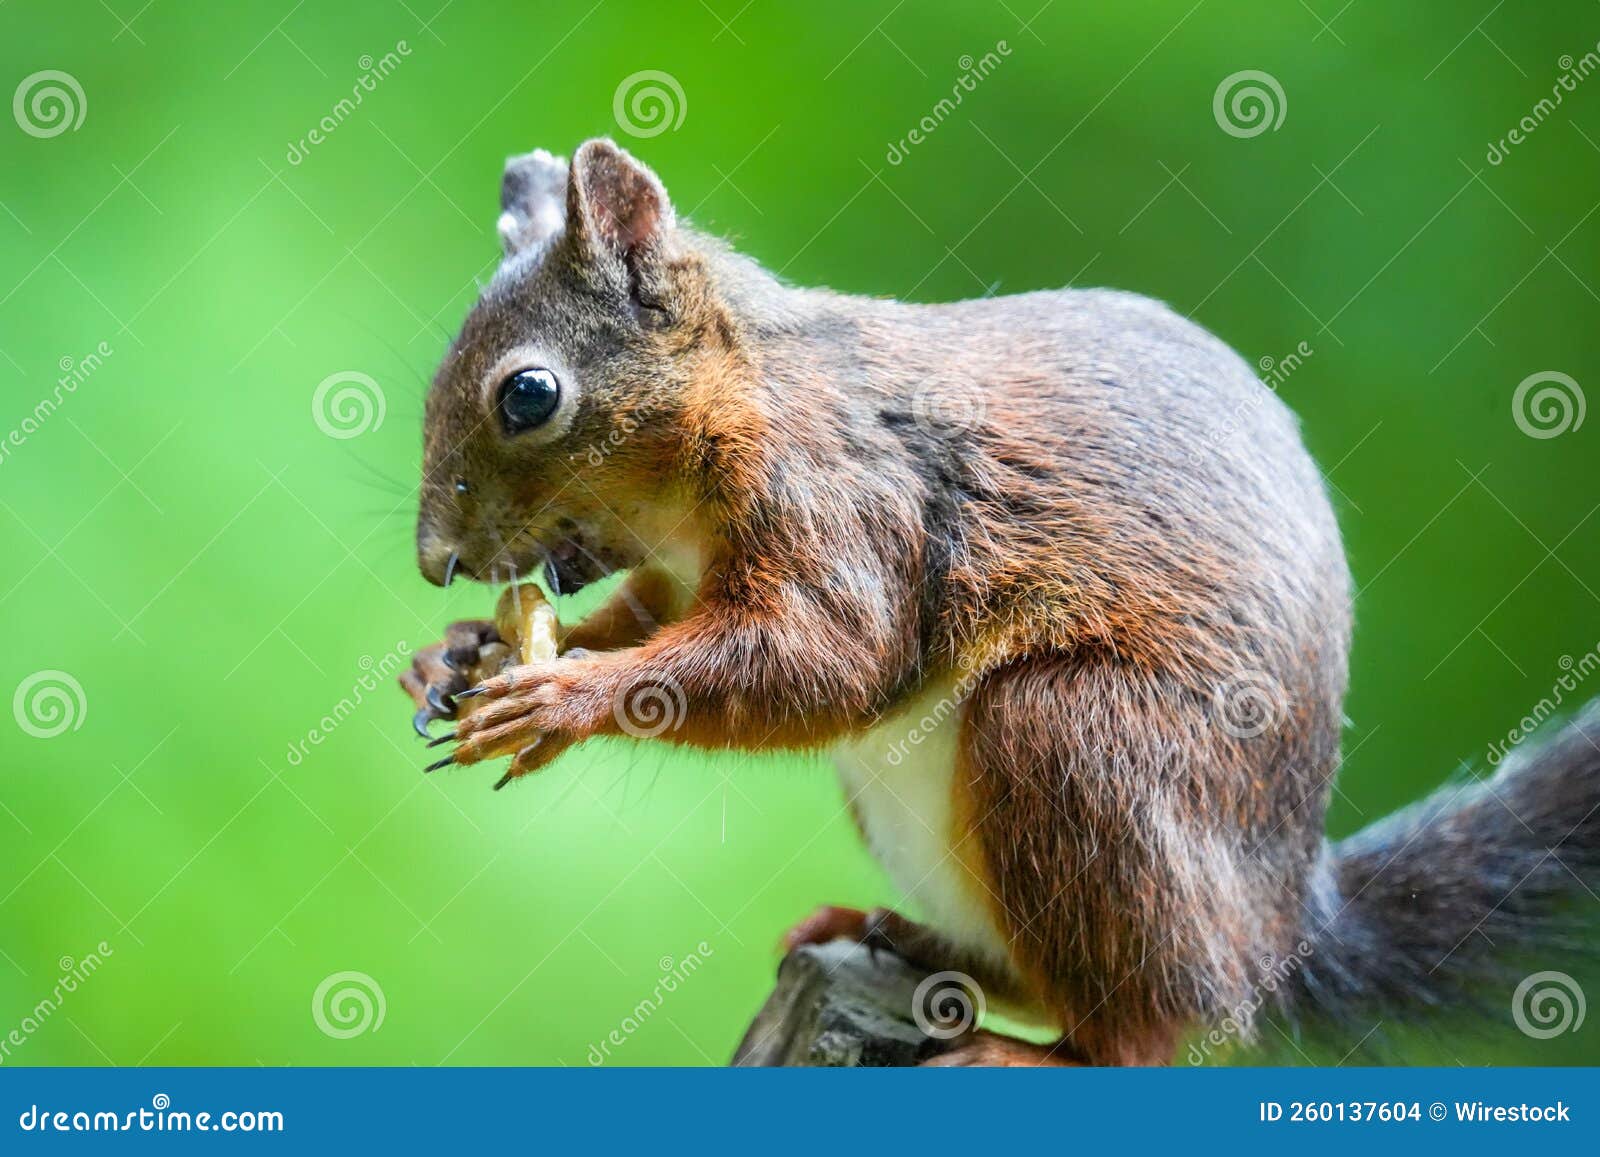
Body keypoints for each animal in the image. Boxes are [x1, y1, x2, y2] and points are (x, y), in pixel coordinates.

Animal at [399, 137, 1600, 1066]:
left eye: (529, 394)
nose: (435, 562)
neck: (740, 402)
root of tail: (1276, 933)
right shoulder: (676, 574)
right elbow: (654, 615)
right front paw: (458, 655)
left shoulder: (850, 498)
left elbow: (828, 658)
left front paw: (560, 695)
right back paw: (912, 942)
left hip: (1076, 740)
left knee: (1142, 1034)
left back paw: (1021, 1048)